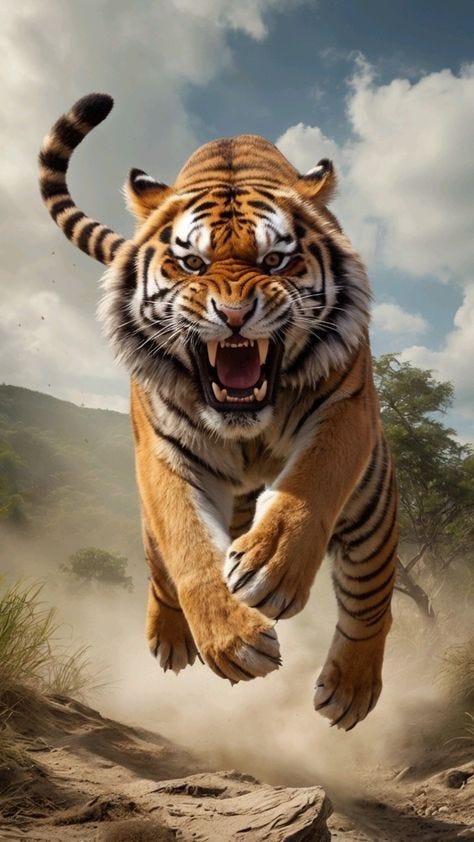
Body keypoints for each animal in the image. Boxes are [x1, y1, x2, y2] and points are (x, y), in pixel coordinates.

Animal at [38, 93, 398, 731]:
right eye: (192, 265)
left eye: (276, 260)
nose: (233, 315)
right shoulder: (163, 452)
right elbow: (187, 545)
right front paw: (232, 639)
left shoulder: (348, 409)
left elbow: (313, 482)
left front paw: (271, 568)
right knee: (161, 570)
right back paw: (172, 638)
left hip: (370, 510)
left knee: (370, 599)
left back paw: (351, 689)